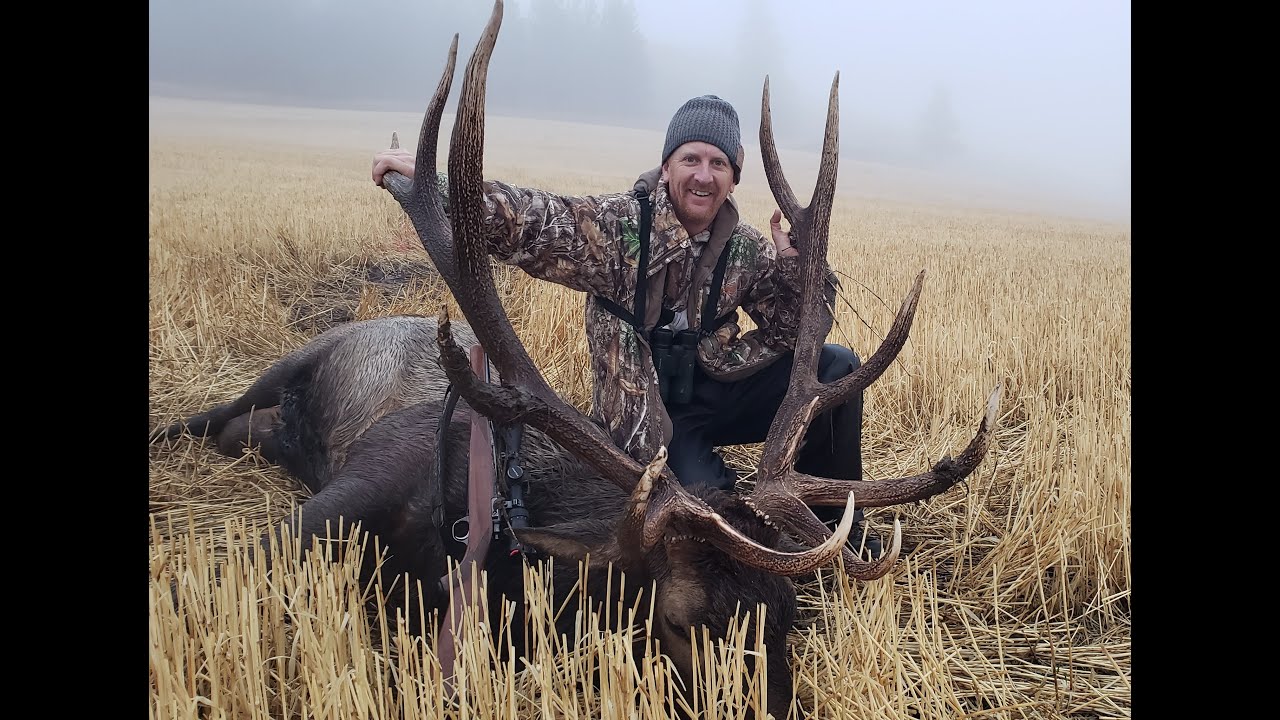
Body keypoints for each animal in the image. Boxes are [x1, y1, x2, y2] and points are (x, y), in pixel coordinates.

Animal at [151, 0, 1001, 715]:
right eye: (684, 621)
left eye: (786, 617)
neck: (484, 545)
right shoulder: (354, 486)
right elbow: (229, 569)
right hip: (299, 358)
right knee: (215, 413)